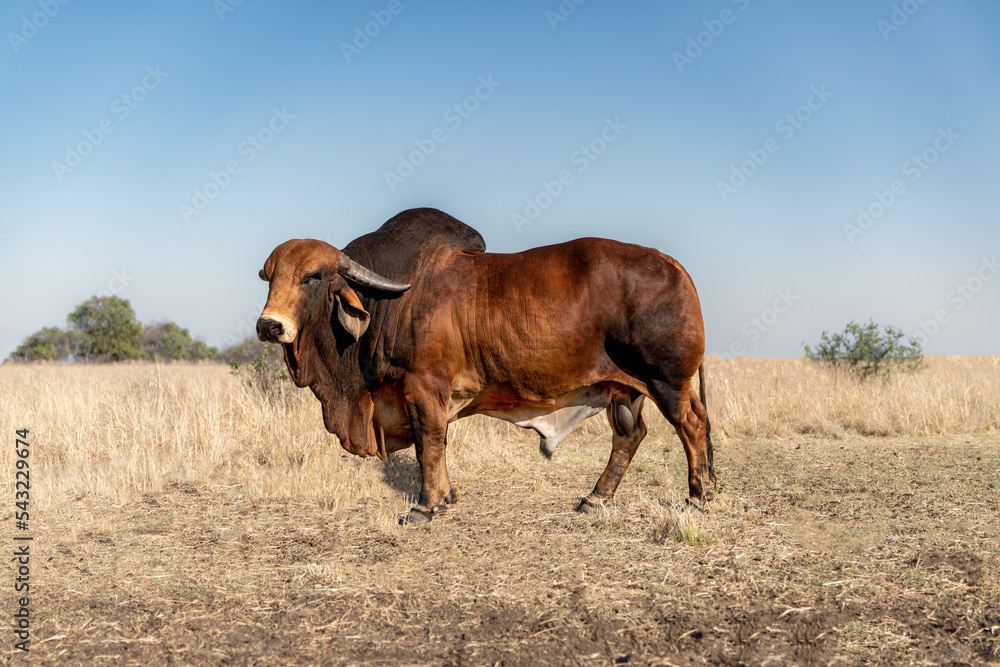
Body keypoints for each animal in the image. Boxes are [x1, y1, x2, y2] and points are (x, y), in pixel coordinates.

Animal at [256, 208, 714, 523]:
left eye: (314, 276)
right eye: (269, 276)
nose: (269, 325)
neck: (390, 300)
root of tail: (672, 263)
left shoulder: (423, 386)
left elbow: (428, 443)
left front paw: (426, 506)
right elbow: (438, 444)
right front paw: (447, 497)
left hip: (666, 381)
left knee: (692, 425)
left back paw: (698, 497)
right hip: (627, 389)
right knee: (630, 436)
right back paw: (595, 498)